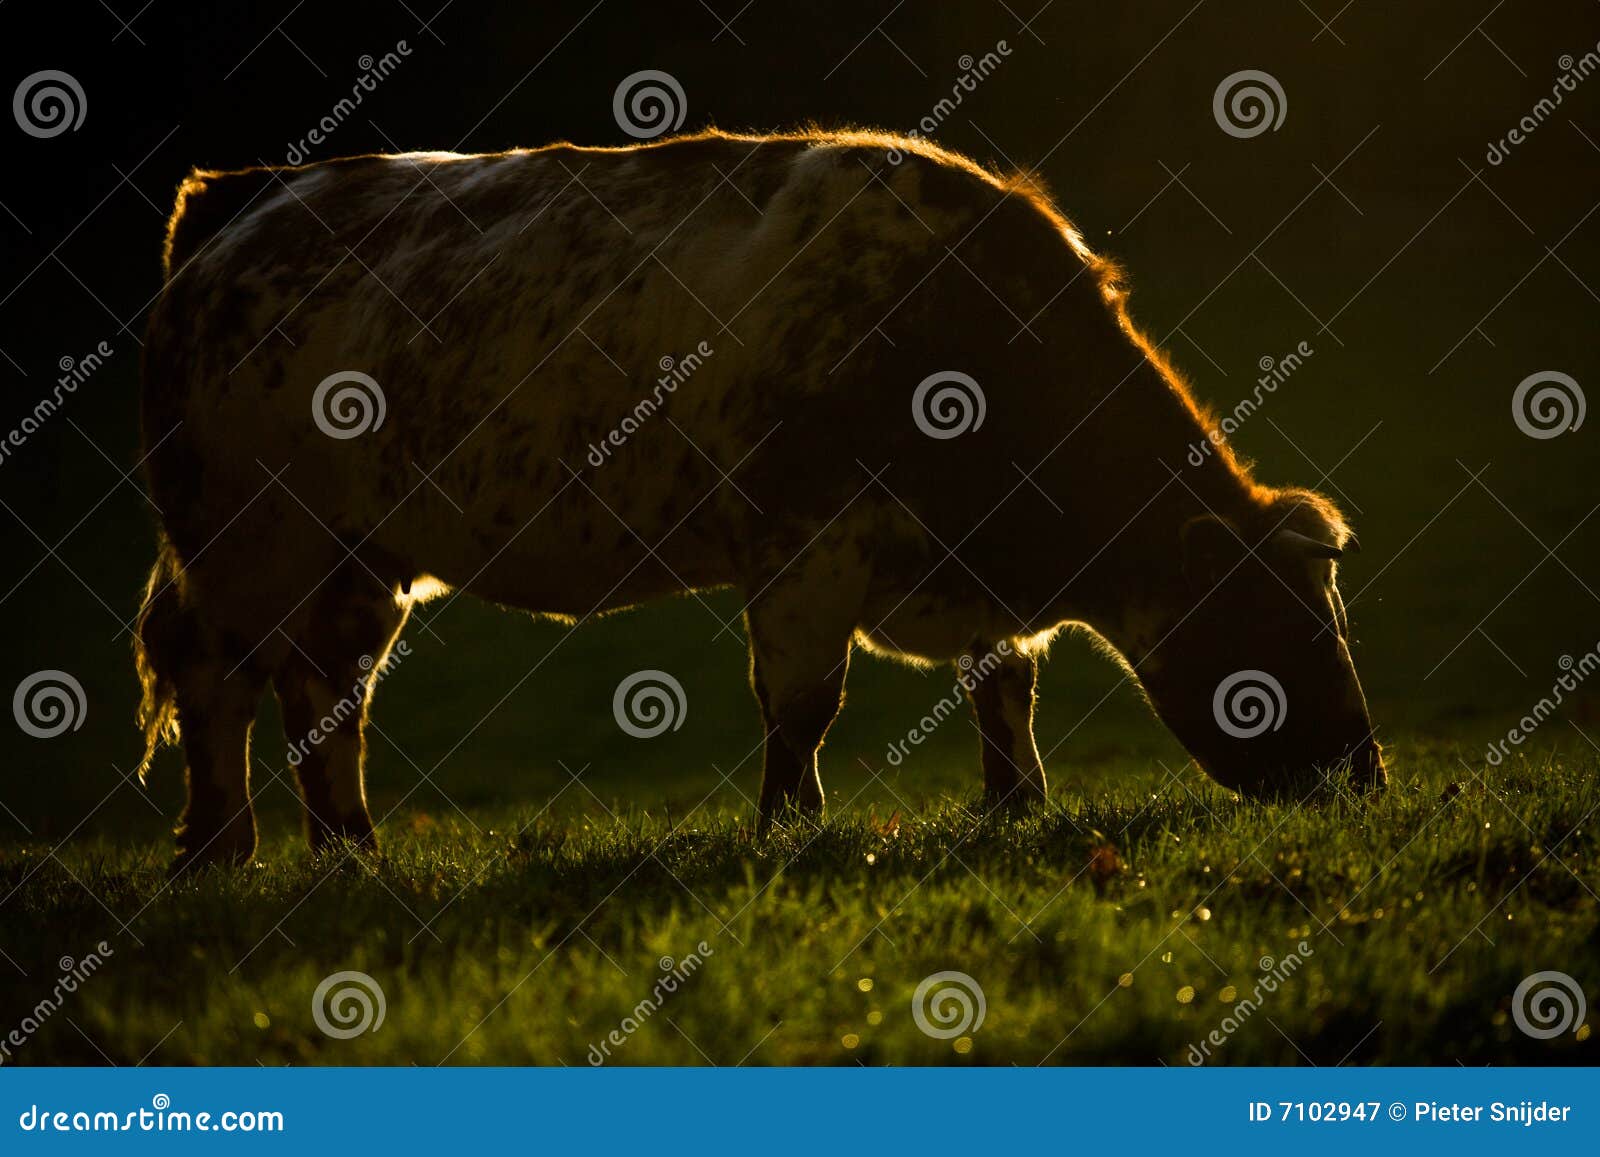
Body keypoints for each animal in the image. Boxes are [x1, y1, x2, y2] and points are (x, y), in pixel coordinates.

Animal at [133, 128, 1386, 871]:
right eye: (1273, 626)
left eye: (1331, 619)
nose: (1362, 779)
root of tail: (242, 202)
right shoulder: (807, 549)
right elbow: (802, 704)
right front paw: (789, 828)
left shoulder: (965, 576)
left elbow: (1004, 682)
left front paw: (1013, 804)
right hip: (247, 537)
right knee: (215, 675)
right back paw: (221, 848)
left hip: (353, 557)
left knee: (324, 690)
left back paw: (348, 847)